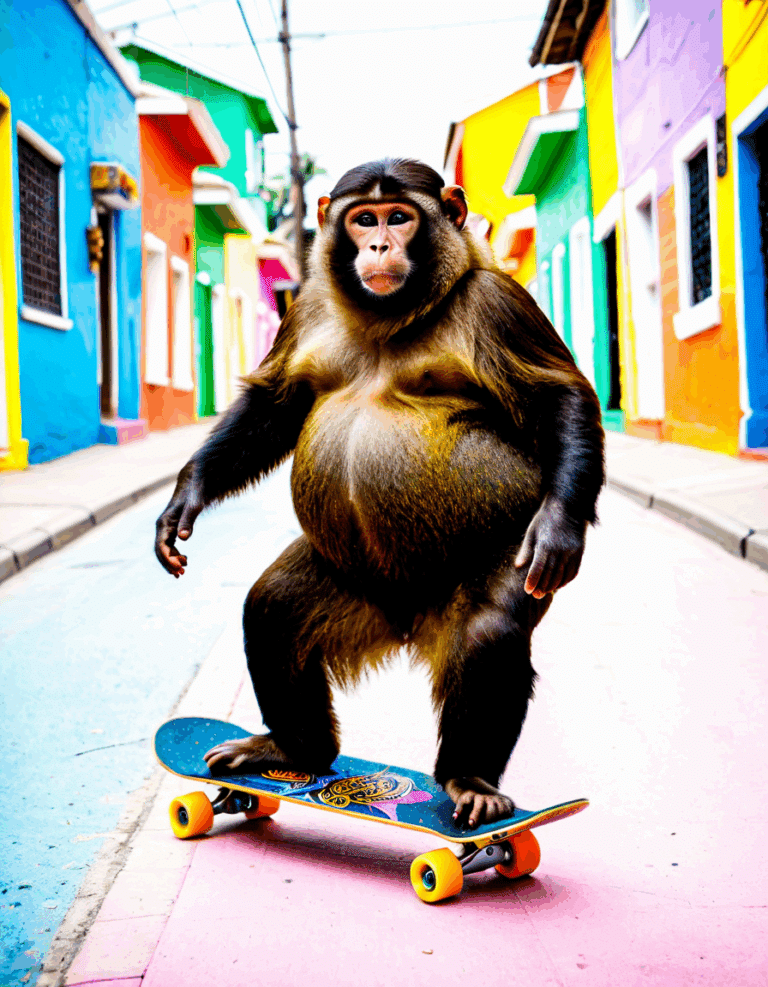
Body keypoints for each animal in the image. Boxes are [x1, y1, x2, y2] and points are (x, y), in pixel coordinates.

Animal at [155, 158, 604, 829]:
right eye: (364, 218)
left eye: (400, 216)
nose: (379, 244)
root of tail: (410, 620)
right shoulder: (308, 308)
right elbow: (275, 406)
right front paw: (188, 492)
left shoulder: (498, 305)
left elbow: (560, 397)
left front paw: (560, 526)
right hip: (353, 584)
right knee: (273, 609)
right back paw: (297, 748)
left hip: (477, 570)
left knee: (488, 629)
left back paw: (468, 779)